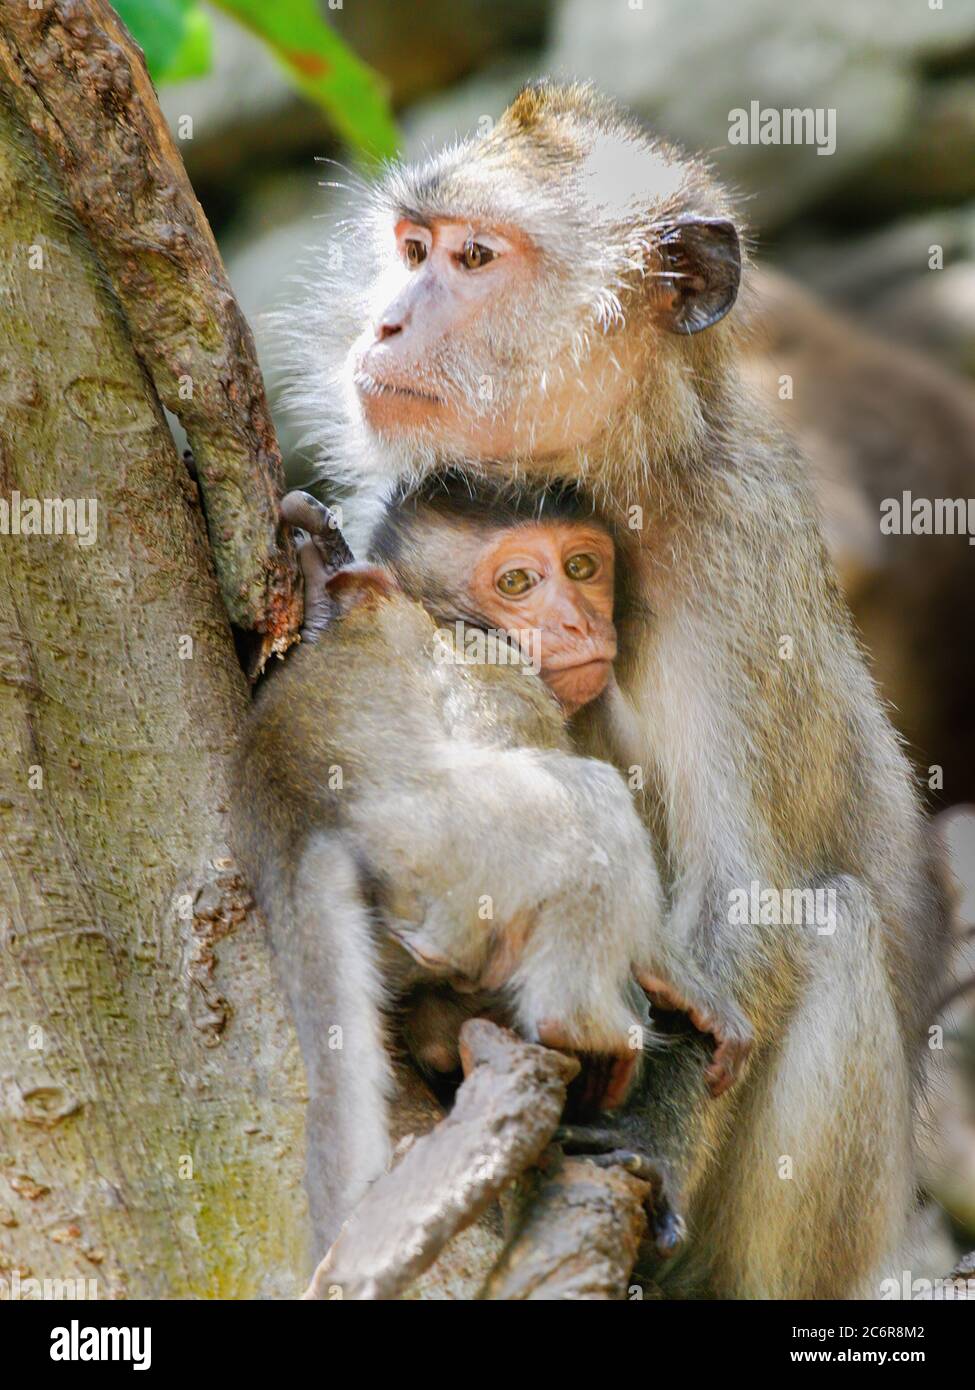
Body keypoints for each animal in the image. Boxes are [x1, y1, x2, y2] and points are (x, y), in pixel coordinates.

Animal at [281, 80, 952, 1298]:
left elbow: (754, 897)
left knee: (829, 928)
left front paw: (645, 1135)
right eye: (413, 249)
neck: (619, 472)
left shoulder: (738, 543)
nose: (386, 323)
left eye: (476, 258)